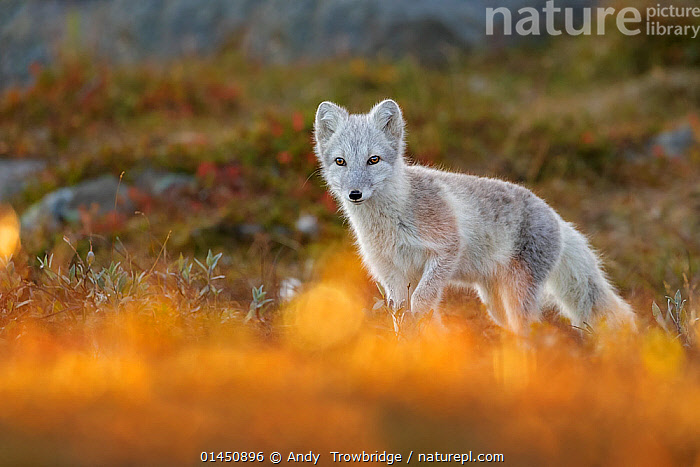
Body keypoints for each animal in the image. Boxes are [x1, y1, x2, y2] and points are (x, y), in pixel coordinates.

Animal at [313, 99, 636, 334]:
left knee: (531, 331)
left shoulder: (446, 250)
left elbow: (421, 302)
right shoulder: (391, 273)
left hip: (518, 294)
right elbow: (400, 312)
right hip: (494, 302)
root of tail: (556, 216)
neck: (390, 222)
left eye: (373, 160)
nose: (355, 194)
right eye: (340, 161)